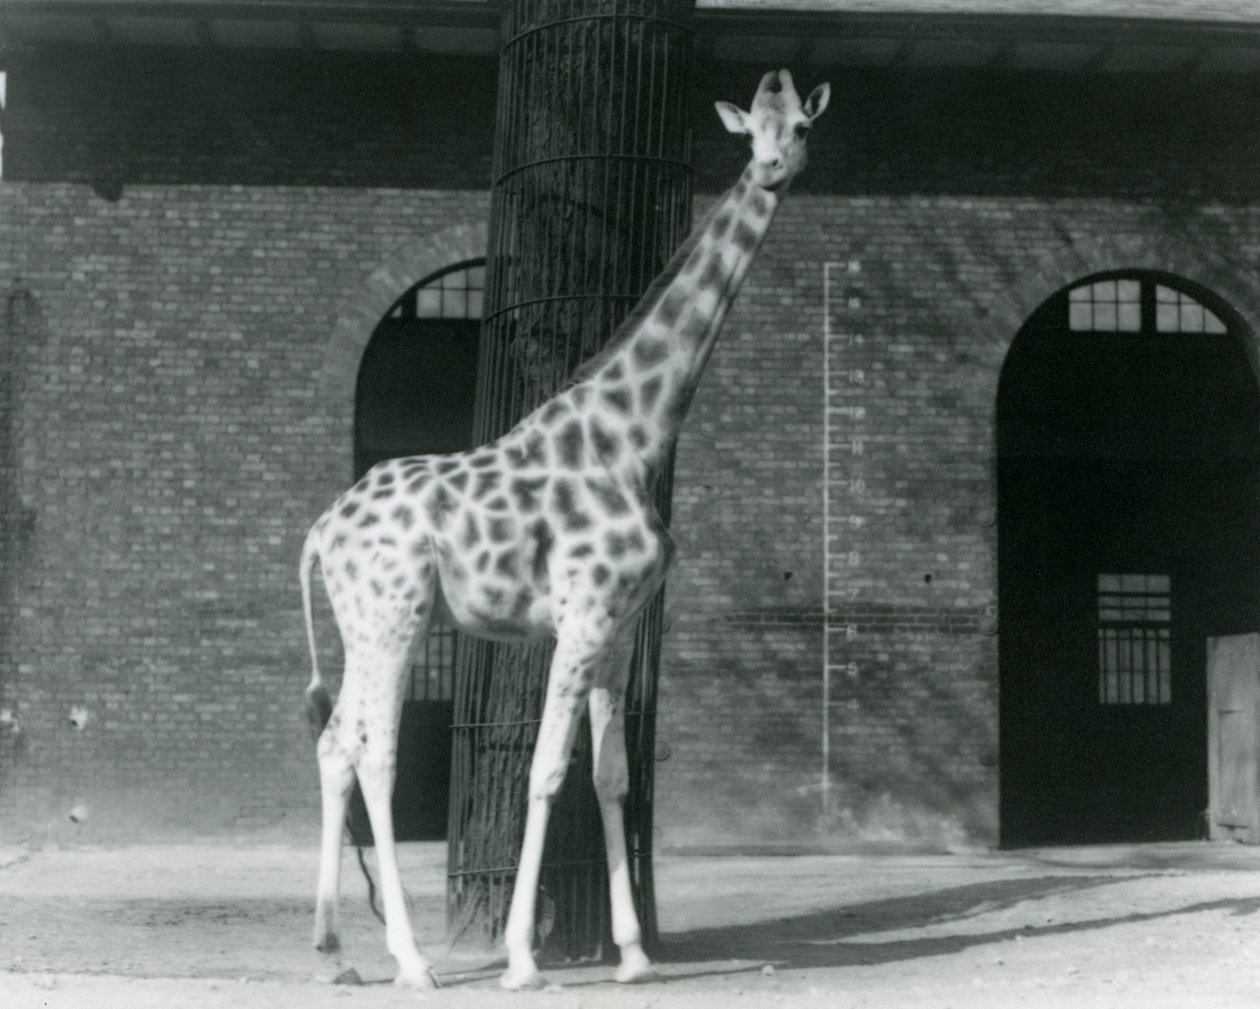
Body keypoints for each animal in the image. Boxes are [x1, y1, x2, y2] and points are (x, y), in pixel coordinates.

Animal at [299, 68, 830, 991]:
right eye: (751, 131)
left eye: (798, 126)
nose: (769, 169)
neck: (633, 439)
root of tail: (323, 526)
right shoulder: (580, 617)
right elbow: (546, 772)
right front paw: (521, 958)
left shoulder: (618, 627)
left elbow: (612, 776)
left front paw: (633, 954)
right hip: (395, 617)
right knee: (372, 753)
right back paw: (412, 960)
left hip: (363, 623)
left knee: (335, 744)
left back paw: (334, 951)